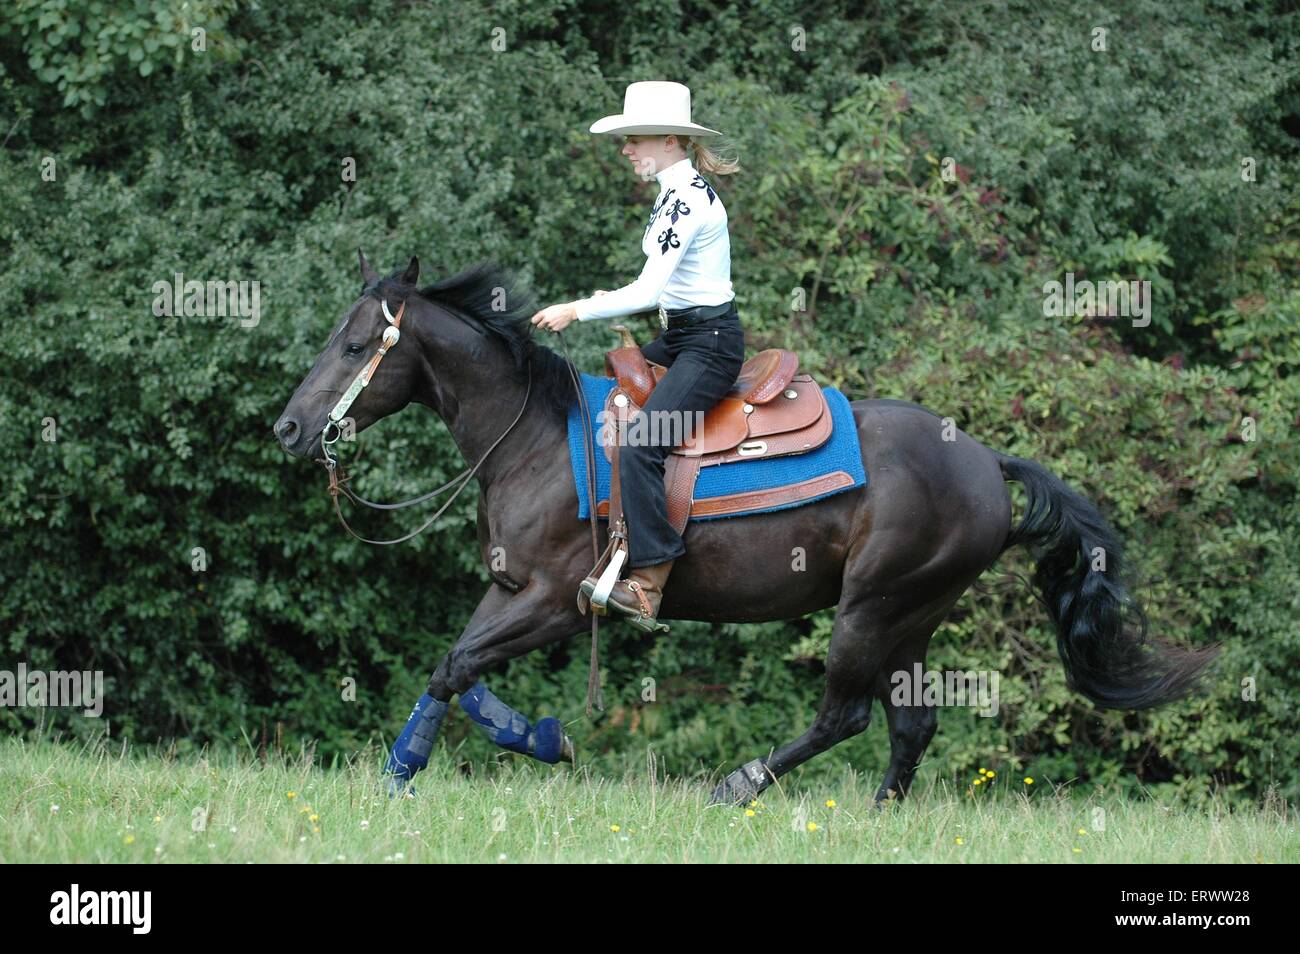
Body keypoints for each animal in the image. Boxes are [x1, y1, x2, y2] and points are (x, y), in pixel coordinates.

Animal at [273, 252, 1220, 805]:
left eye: (356, 345)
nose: (288, 428)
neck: (537, 437)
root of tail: (988, 463)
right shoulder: (510, 589)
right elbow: (456, 667)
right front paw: (471, 751)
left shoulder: (555, 600)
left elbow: (458, 665)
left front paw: (439, 764)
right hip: (912, 616)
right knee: (911, 726)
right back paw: (877, 816)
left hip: (873, 609)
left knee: (845, 717)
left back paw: (741, 784)